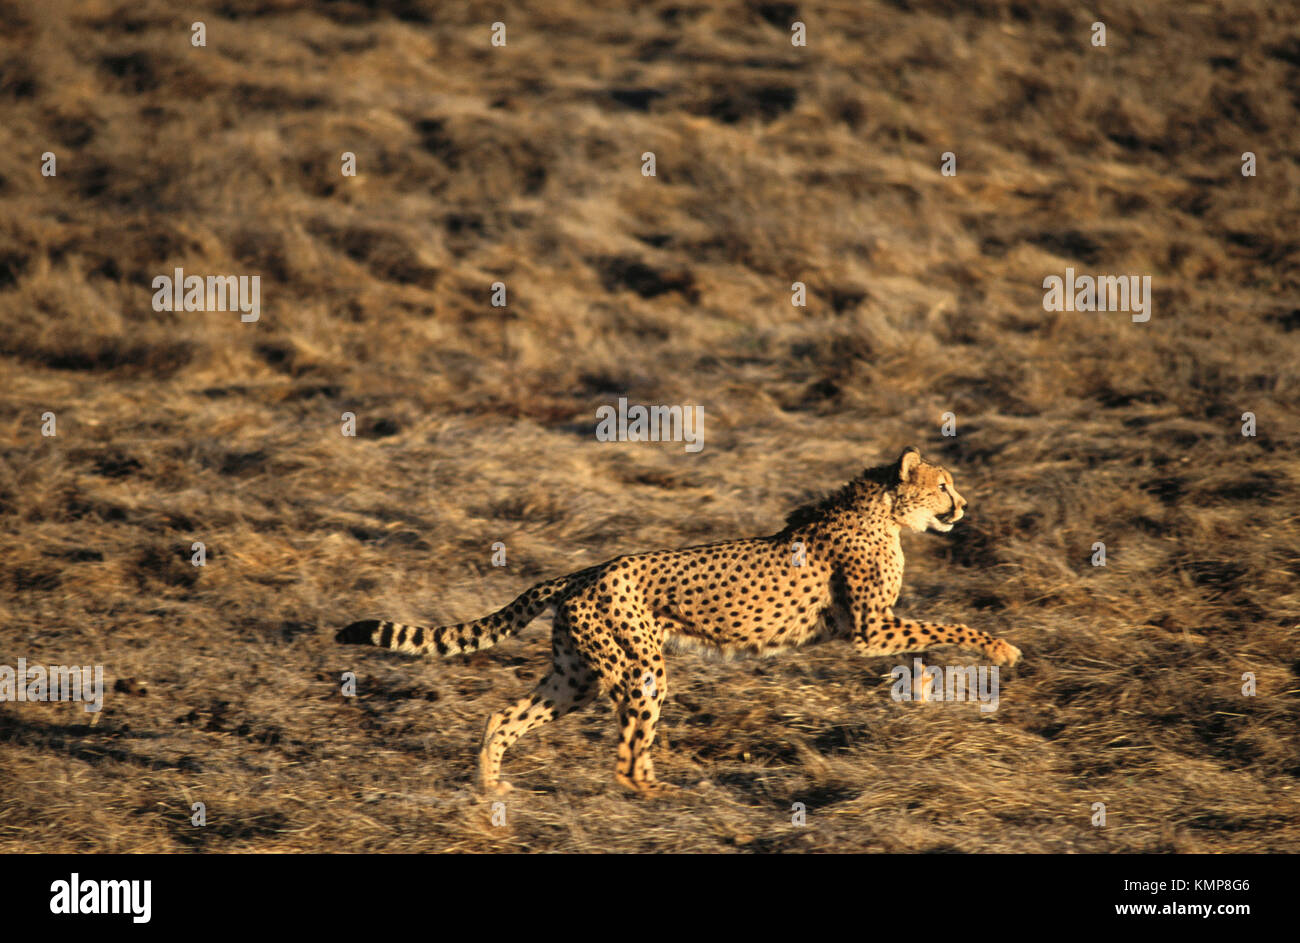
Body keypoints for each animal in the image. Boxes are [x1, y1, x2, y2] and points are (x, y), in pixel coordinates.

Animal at [336, 446, 1022, 795]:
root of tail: (583, 571)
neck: (884, 509)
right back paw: (655, 792)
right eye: (943, 484)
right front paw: (1001, 650)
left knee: (505, 716)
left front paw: (926, 688)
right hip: (639, 668)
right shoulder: (871, 627)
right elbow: (949, 627)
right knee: (626, 753)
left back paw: (491, 789)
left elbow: (926, 644)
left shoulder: (869, 629)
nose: (963, 506)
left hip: (574, 676)